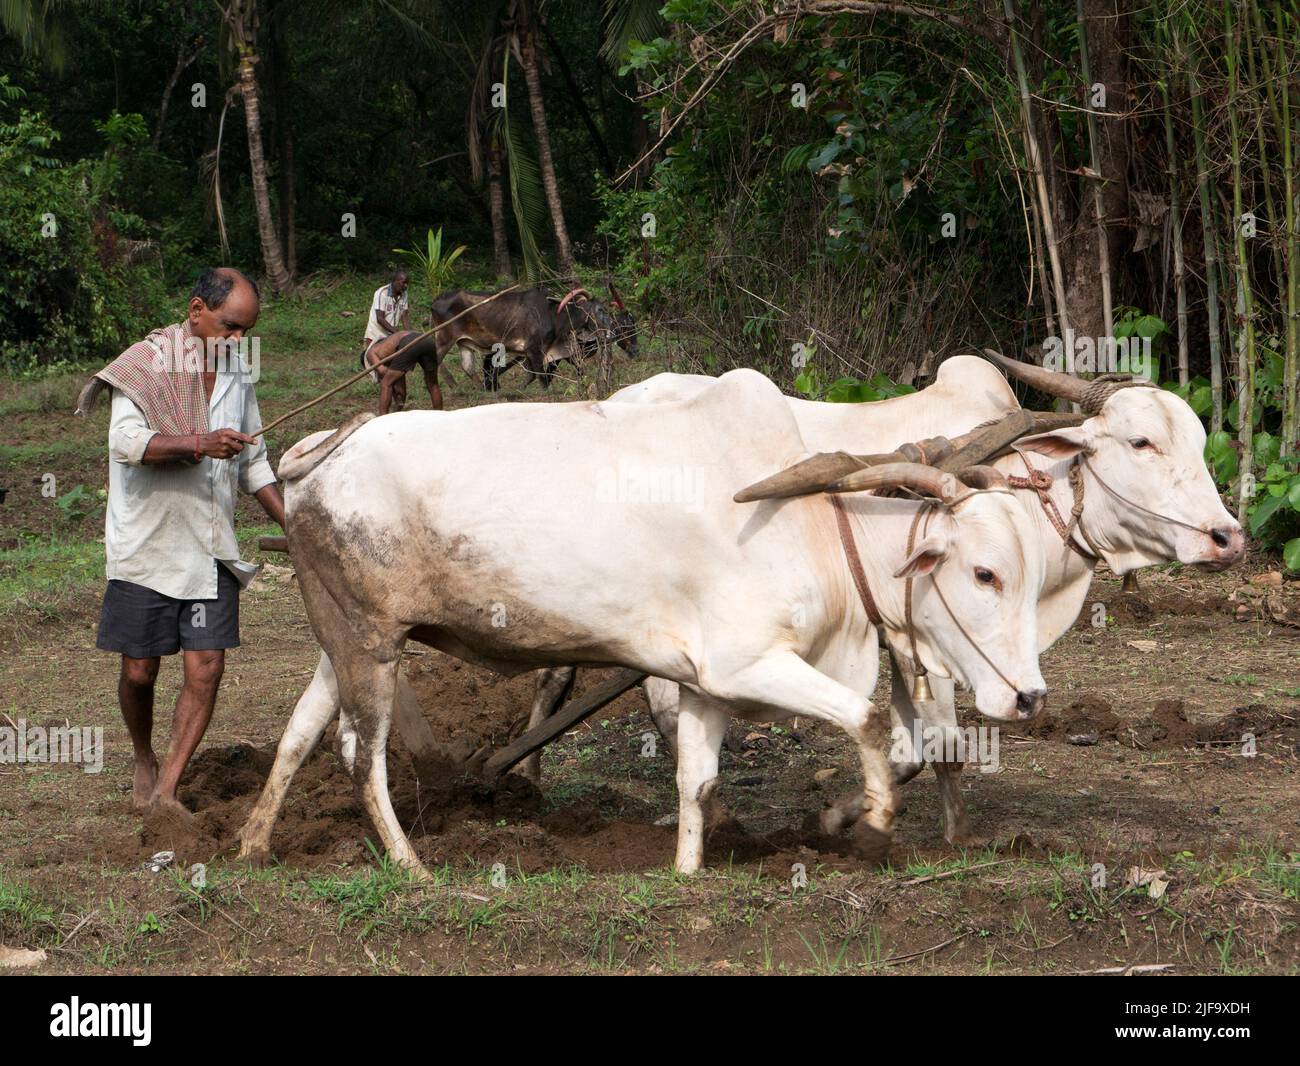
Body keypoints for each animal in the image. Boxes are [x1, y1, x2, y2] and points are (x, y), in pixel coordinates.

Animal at [237, 369, 1050, 877]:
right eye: (984, 572)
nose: (1029, 697)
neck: (821, 526)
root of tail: (323, 452)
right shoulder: (747, 663)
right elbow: (867, 718)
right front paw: (872, 823)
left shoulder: (701, 685)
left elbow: (696, 780)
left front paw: (688, 871)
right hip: (369, 645)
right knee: (361, 755)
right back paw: (411, 868)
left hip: (347, 638)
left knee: (303, 729)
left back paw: (252, 843)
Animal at [525, 352, 1245, 842]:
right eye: (1141, 441)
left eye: (1200, 441)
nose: (1227, 537)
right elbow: (934, 745)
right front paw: (859, 820)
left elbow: (921, 753)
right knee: (624, 689)